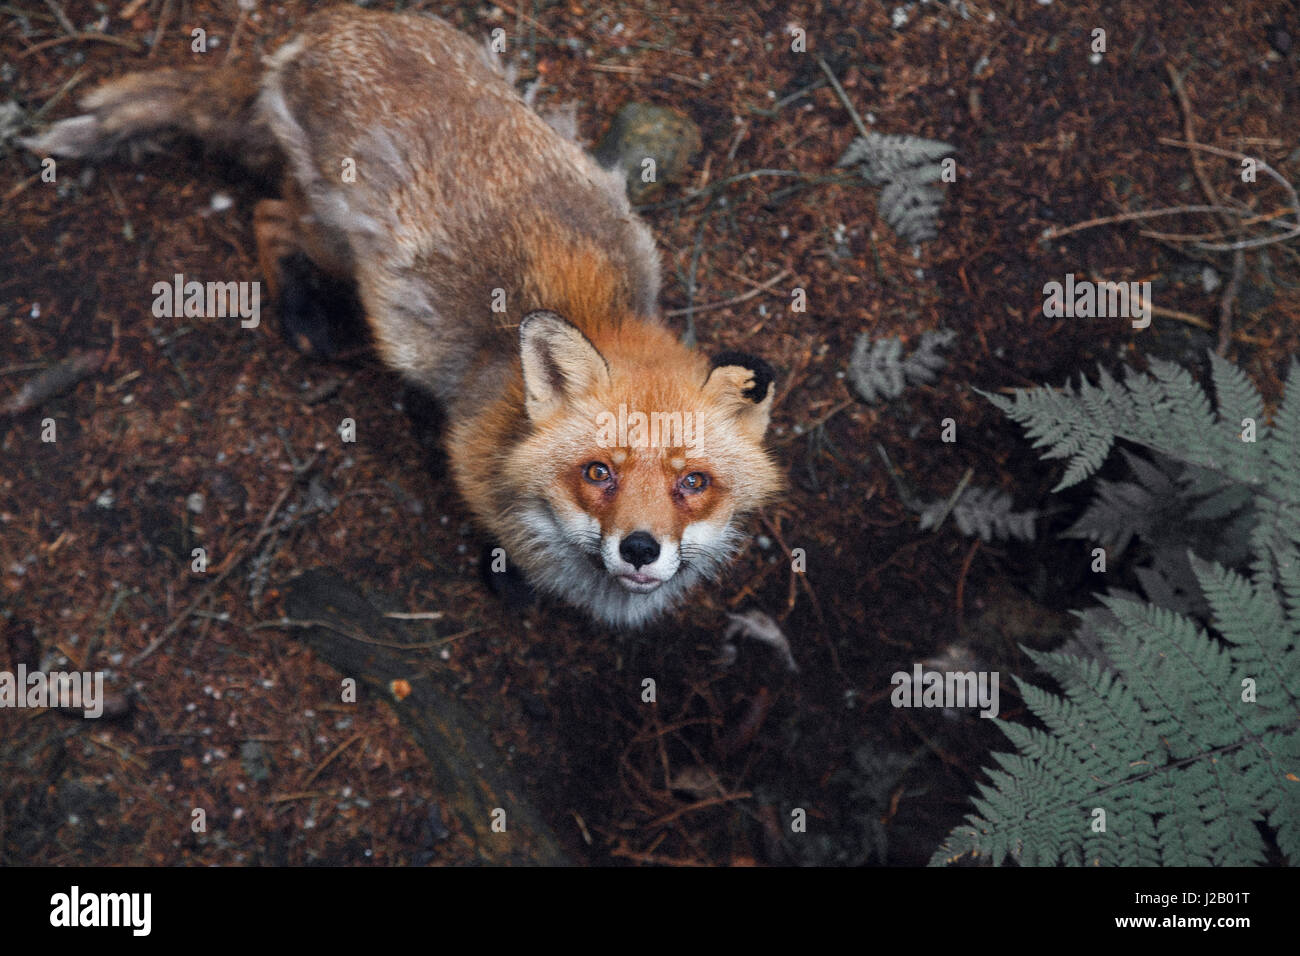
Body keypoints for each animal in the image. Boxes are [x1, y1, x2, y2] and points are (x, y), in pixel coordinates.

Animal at [22, 6, 784, 629]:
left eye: (694, 483)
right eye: (598, 473)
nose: (640, 548)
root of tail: (325, 28)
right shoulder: (472, 455)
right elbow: (498, 531)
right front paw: (509, 578)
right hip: (334, 244)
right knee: (268, 216)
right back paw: (303, 318)